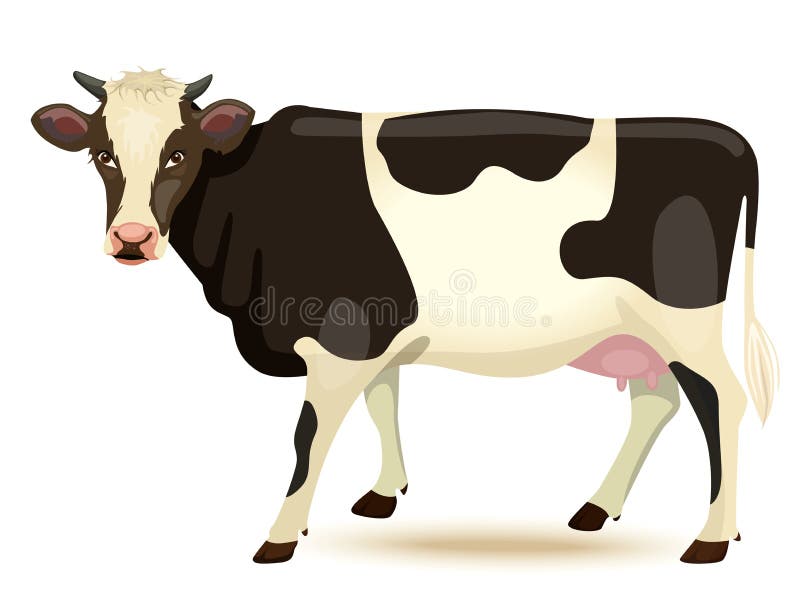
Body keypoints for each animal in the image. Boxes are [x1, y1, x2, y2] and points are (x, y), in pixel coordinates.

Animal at [32, 69, 779, 565]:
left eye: (180, 153)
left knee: (722, 400)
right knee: (656, 401)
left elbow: (309, 436)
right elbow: (382, 400)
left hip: (686, 320)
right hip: (636, 332)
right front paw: (383, 493)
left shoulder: (338, 333)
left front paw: (280, 534)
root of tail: (728, 139)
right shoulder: (373, 330)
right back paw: (599, 508)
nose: (131, 238)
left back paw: (712, 538)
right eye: (102, 154)